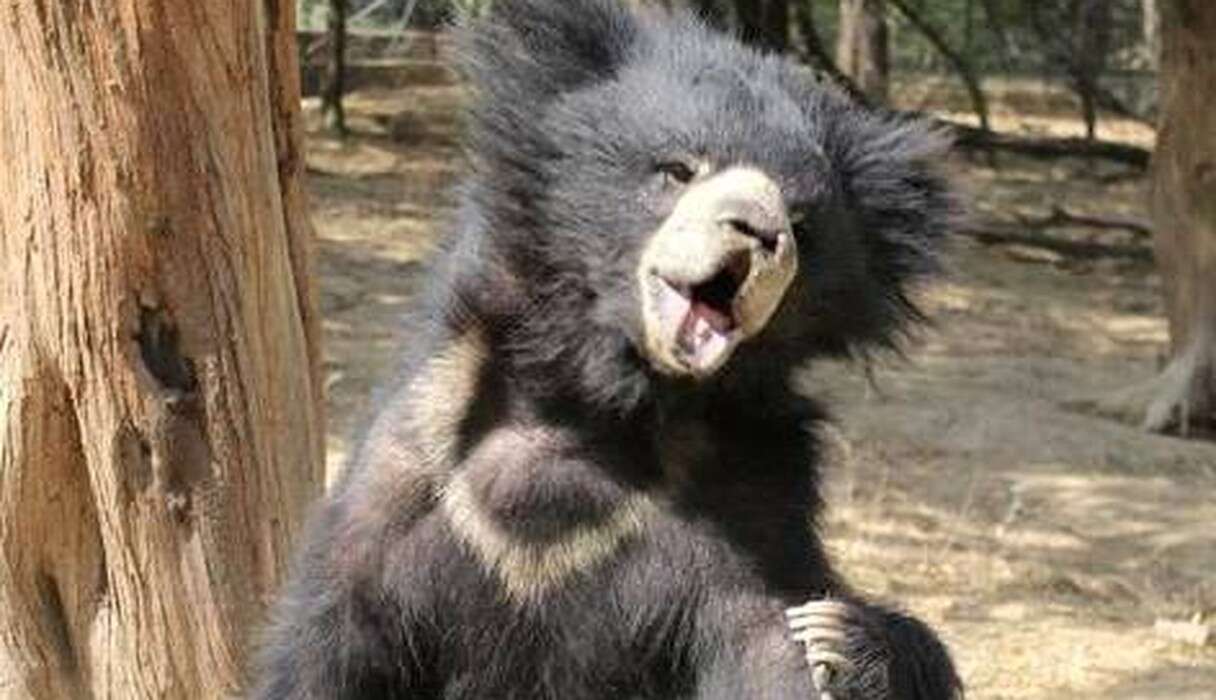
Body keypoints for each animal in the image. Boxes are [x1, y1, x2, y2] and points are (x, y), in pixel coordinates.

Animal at [254, 1, 962, 698]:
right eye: (679, 170)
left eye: (802, 224)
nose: (760, 234)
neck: (604, 398)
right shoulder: (413, 471)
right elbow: (332, 642)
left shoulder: (747, 491)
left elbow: (766, 633)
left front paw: (838, 642)